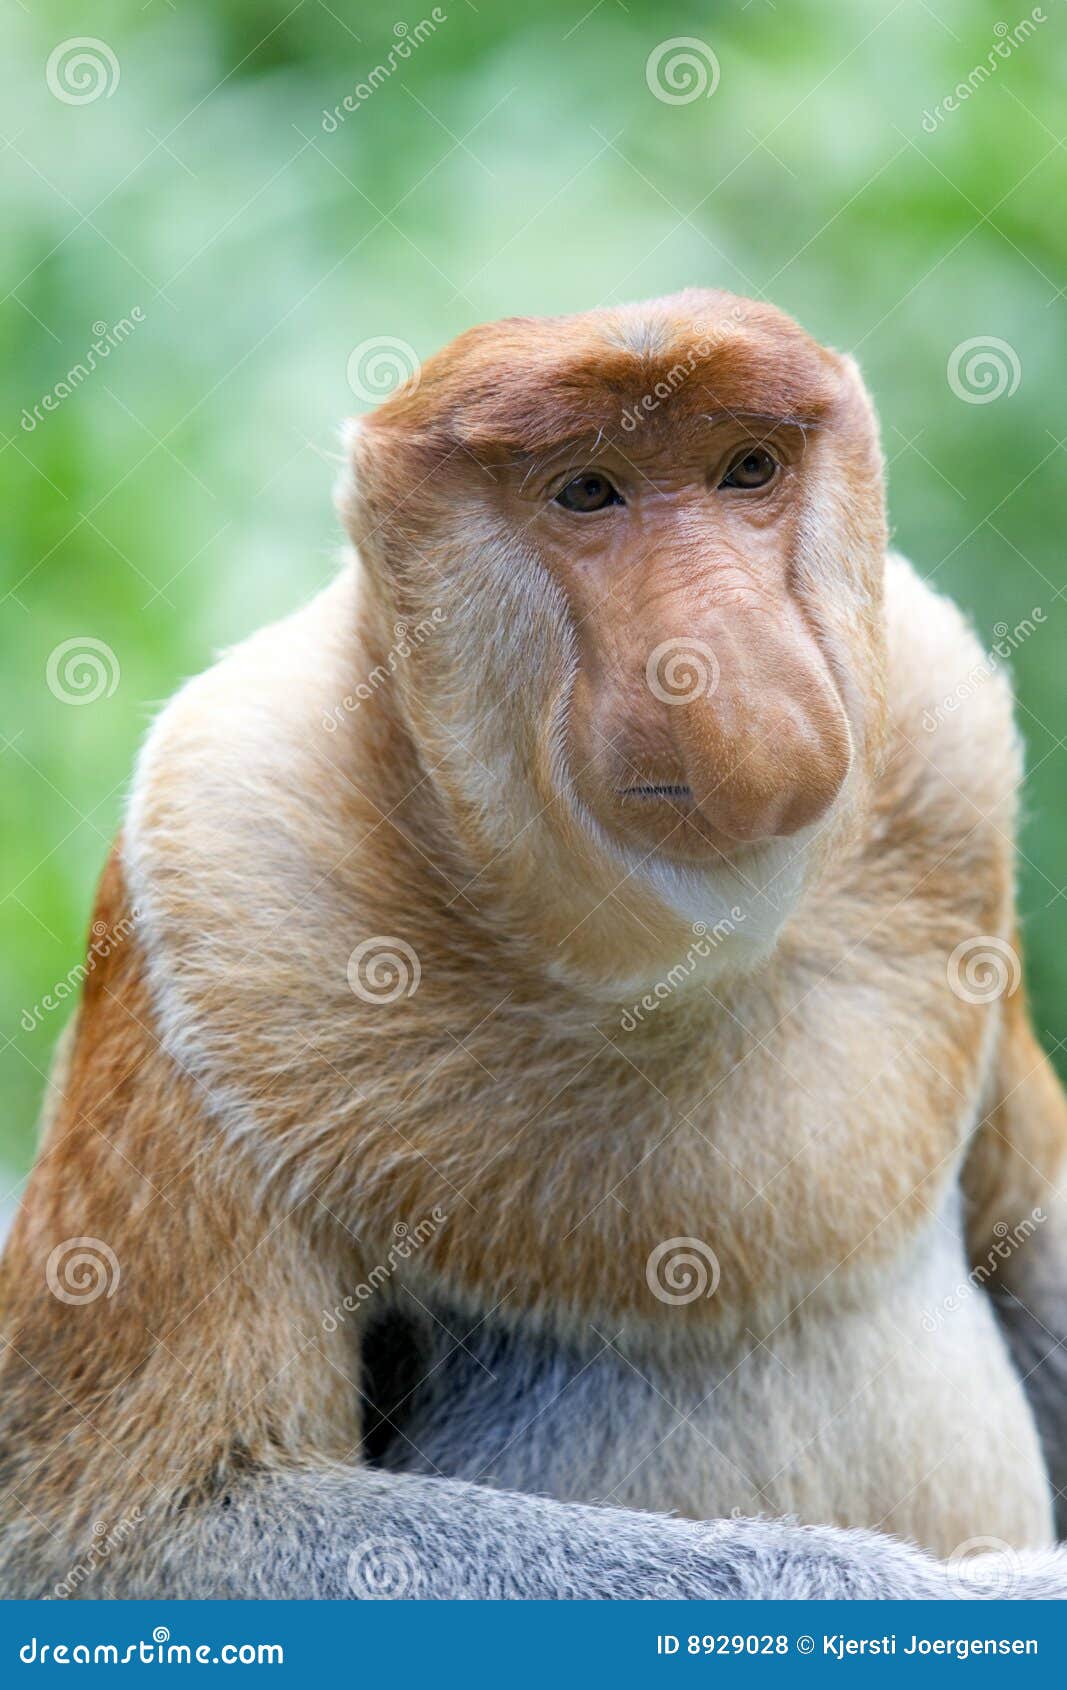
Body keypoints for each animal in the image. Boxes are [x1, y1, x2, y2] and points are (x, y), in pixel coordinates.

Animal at [2, 288, 1067, 1600]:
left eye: (746, 469)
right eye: (586, 492)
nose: (722, 667)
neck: (669, 968)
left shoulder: (943, 756)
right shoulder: (214, 871)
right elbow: (141, 1524)